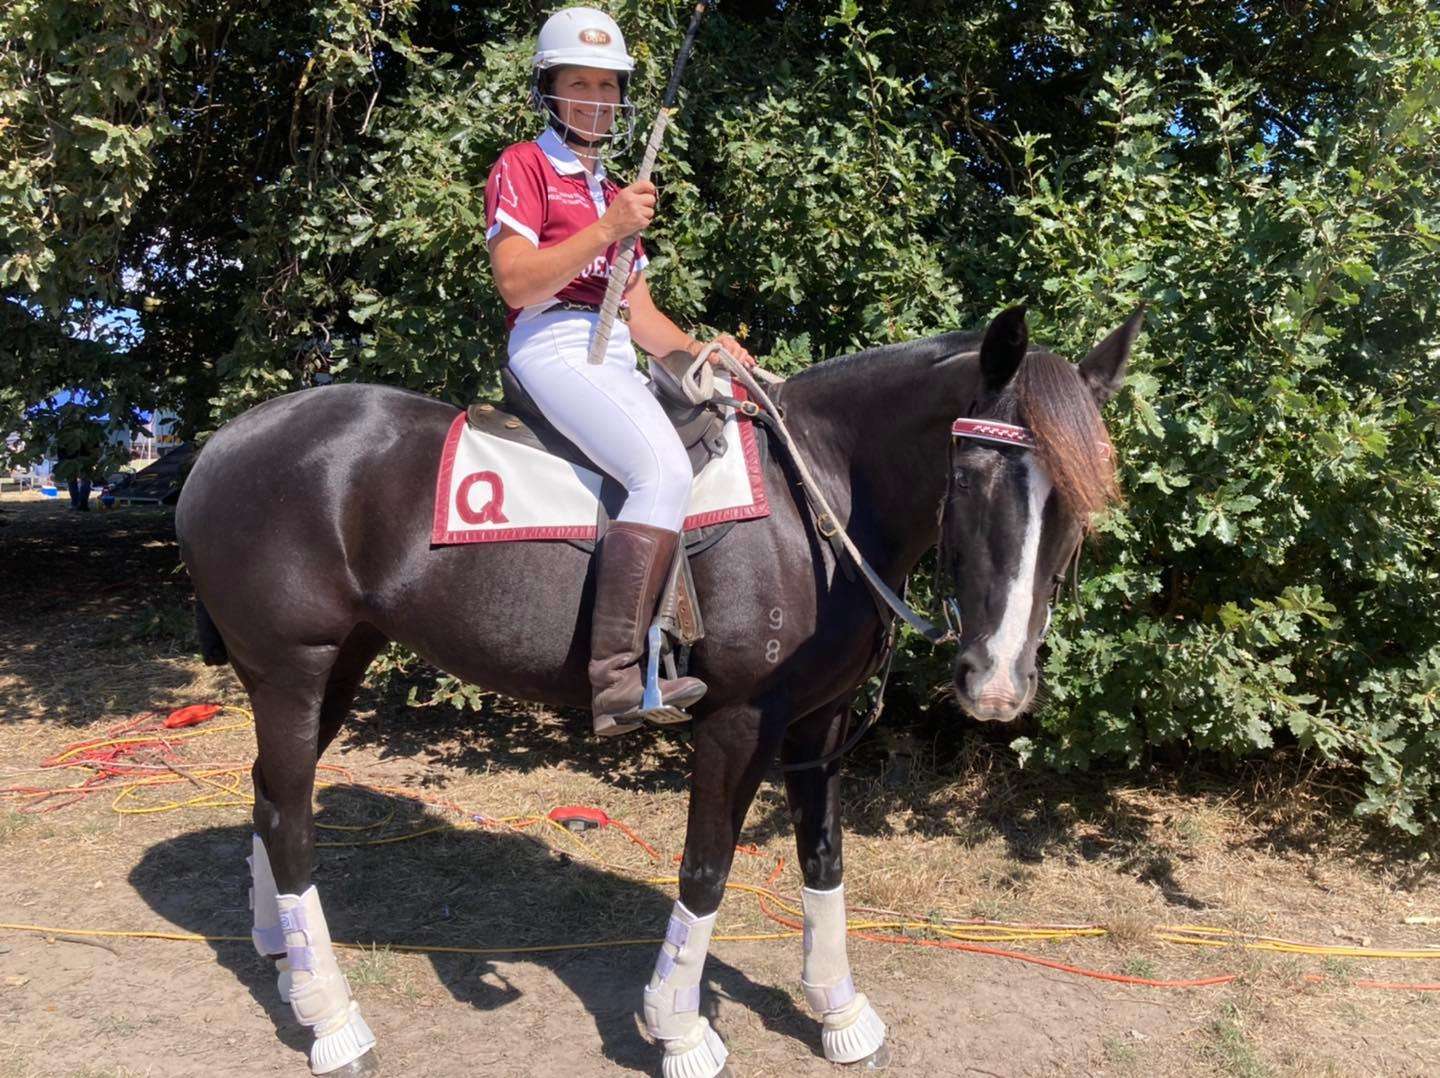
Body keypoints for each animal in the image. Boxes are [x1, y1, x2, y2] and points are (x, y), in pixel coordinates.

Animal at [175, 305, 1141, 1077]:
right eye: (972, 477)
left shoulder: (818, 728)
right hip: (293, 671)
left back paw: (283, 962)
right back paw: (332, 1021)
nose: (999, 682)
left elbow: (825, 862)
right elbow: (706, 868)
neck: (817, 497)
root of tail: (219, 449)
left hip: (340, 664)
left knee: (268, 796)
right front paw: (679, 1030)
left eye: (1081, 500)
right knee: (291, 821)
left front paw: (840, 1014)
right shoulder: (737, 722)